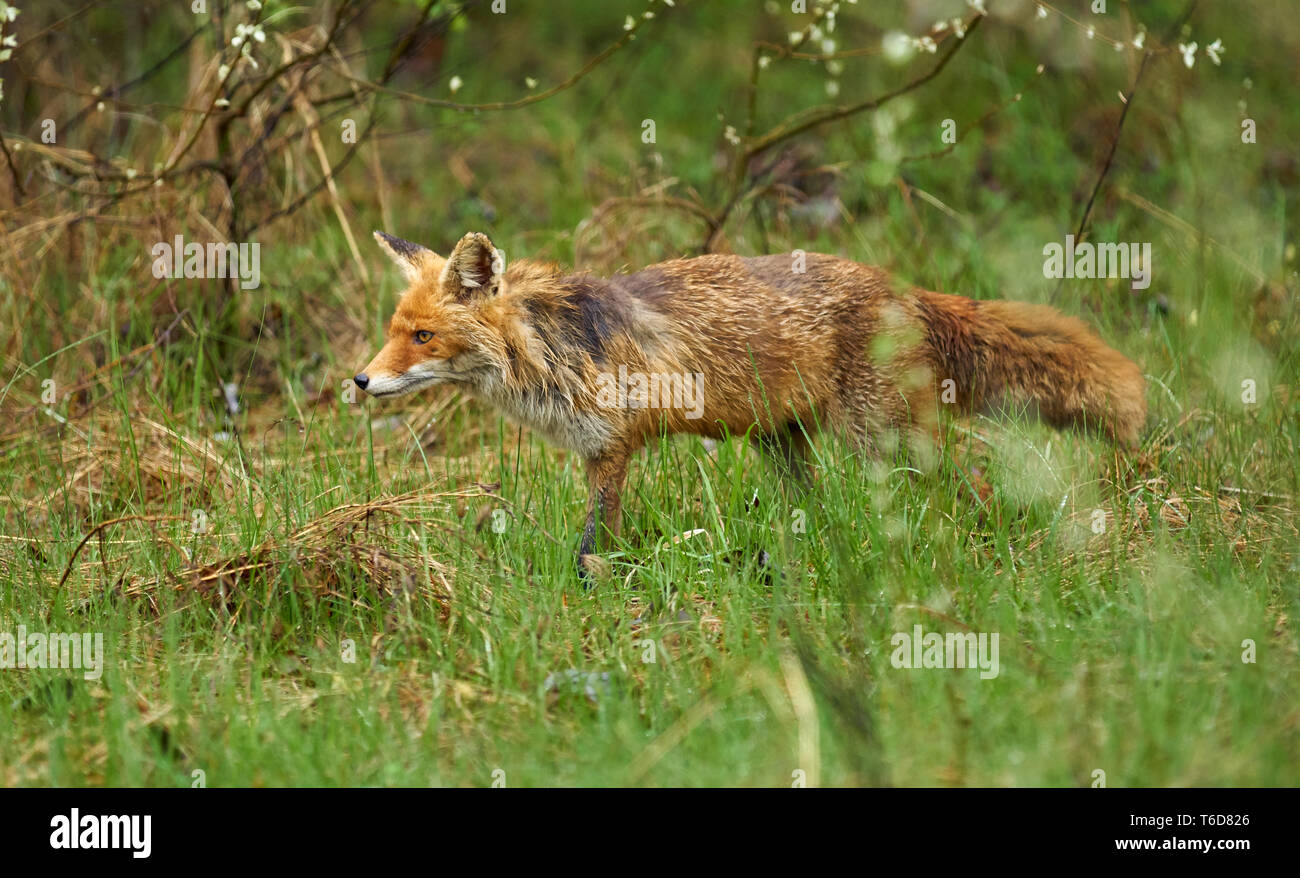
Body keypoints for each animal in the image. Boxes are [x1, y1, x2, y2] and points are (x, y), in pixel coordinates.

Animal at [356, 230, 1146, 573]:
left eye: (423, 336)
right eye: (393, 332)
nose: (359, 382)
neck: (551, 345)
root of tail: (901, 287)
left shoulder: (612, 448)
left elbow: (593, 543)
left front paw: (591, 593)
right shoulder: (597, 452)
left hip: (884, 439)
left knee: (971, 481)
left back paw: (992, 547)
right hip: (787, 443)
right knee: (821, 509)